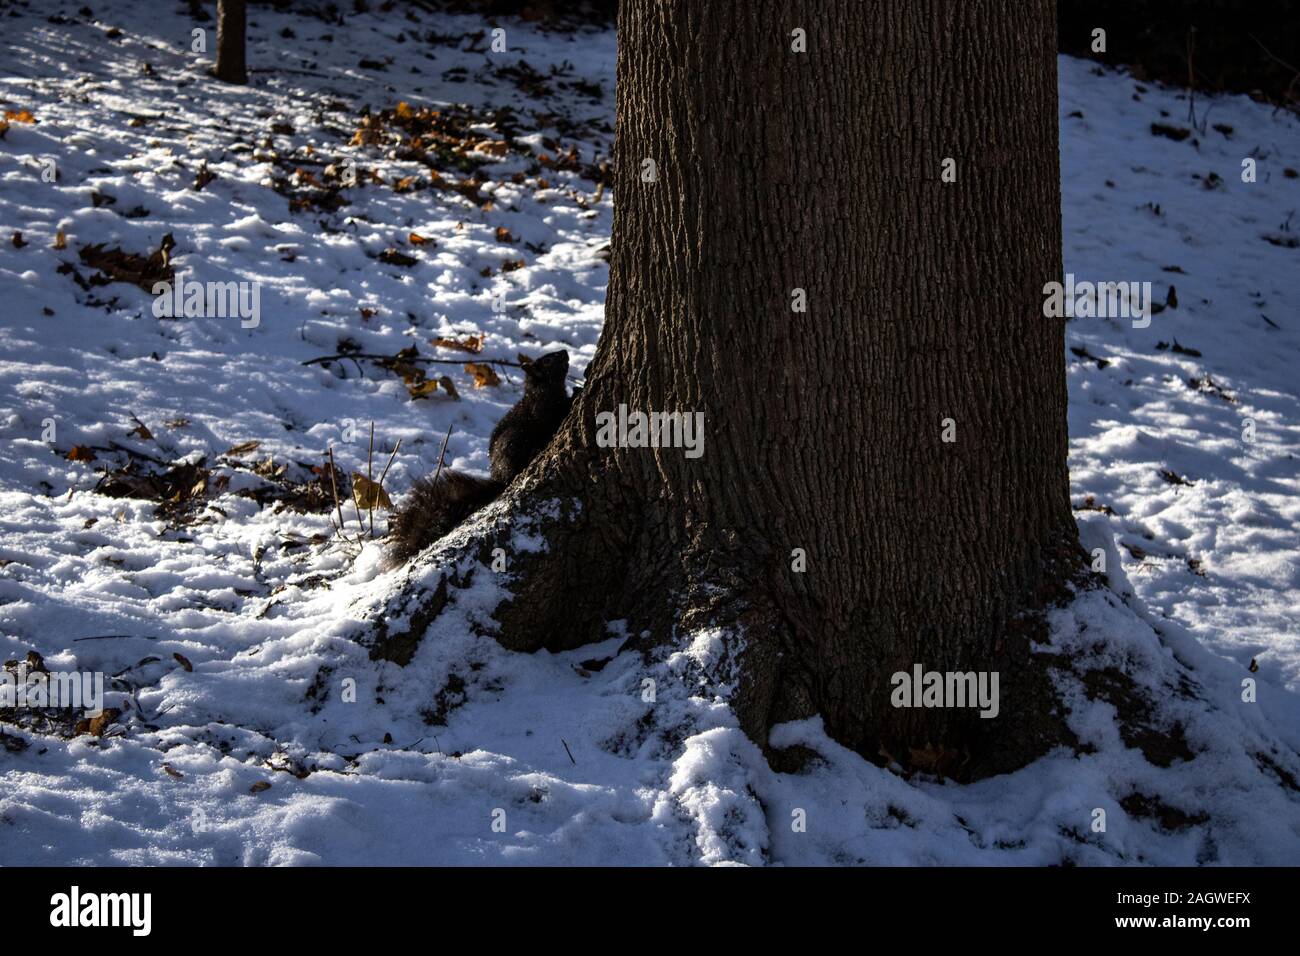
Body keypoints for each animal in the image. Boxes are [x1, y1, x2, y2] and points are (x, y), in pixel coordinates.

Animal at [385, 349, 573, 565]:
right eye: (548, 360)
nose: (565, 352)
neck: (543, 390)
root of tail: (499, 478)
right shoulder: (543, 410)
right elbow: (556, 416)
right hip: (513, 443)